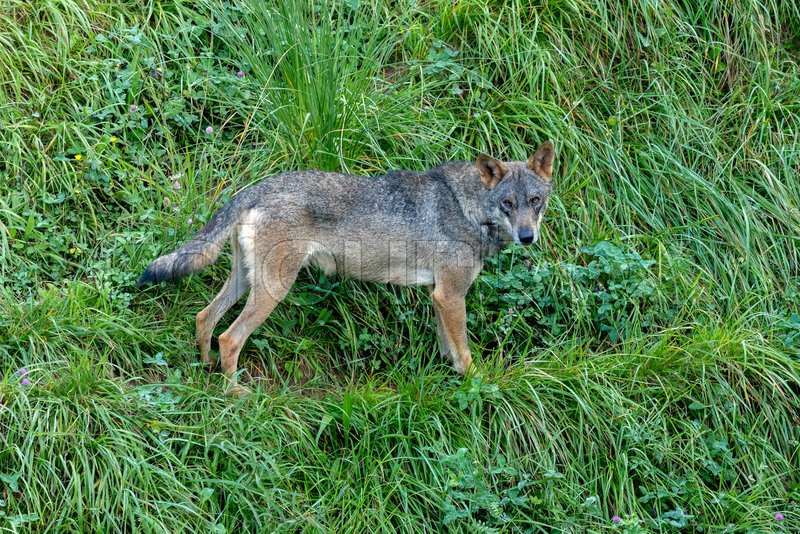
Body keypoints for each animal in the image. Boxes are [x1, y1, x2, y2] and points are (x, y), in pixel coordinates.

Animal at [138, 141, 555, 393]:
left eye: (535, 201)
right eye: (507, 204)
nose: (527, 237)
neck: (470, 209)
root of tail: (258, 186)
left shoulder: (439, 296)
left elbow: (448, 349)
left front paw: (448, 379)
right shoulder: (450, 295)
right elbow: (465, 354)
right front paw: (480, 387)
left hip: (246, 282)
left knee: (204, 318)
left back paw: (206, 367)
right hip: (273, 289)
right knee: (230, 337)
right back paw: (236, 393)